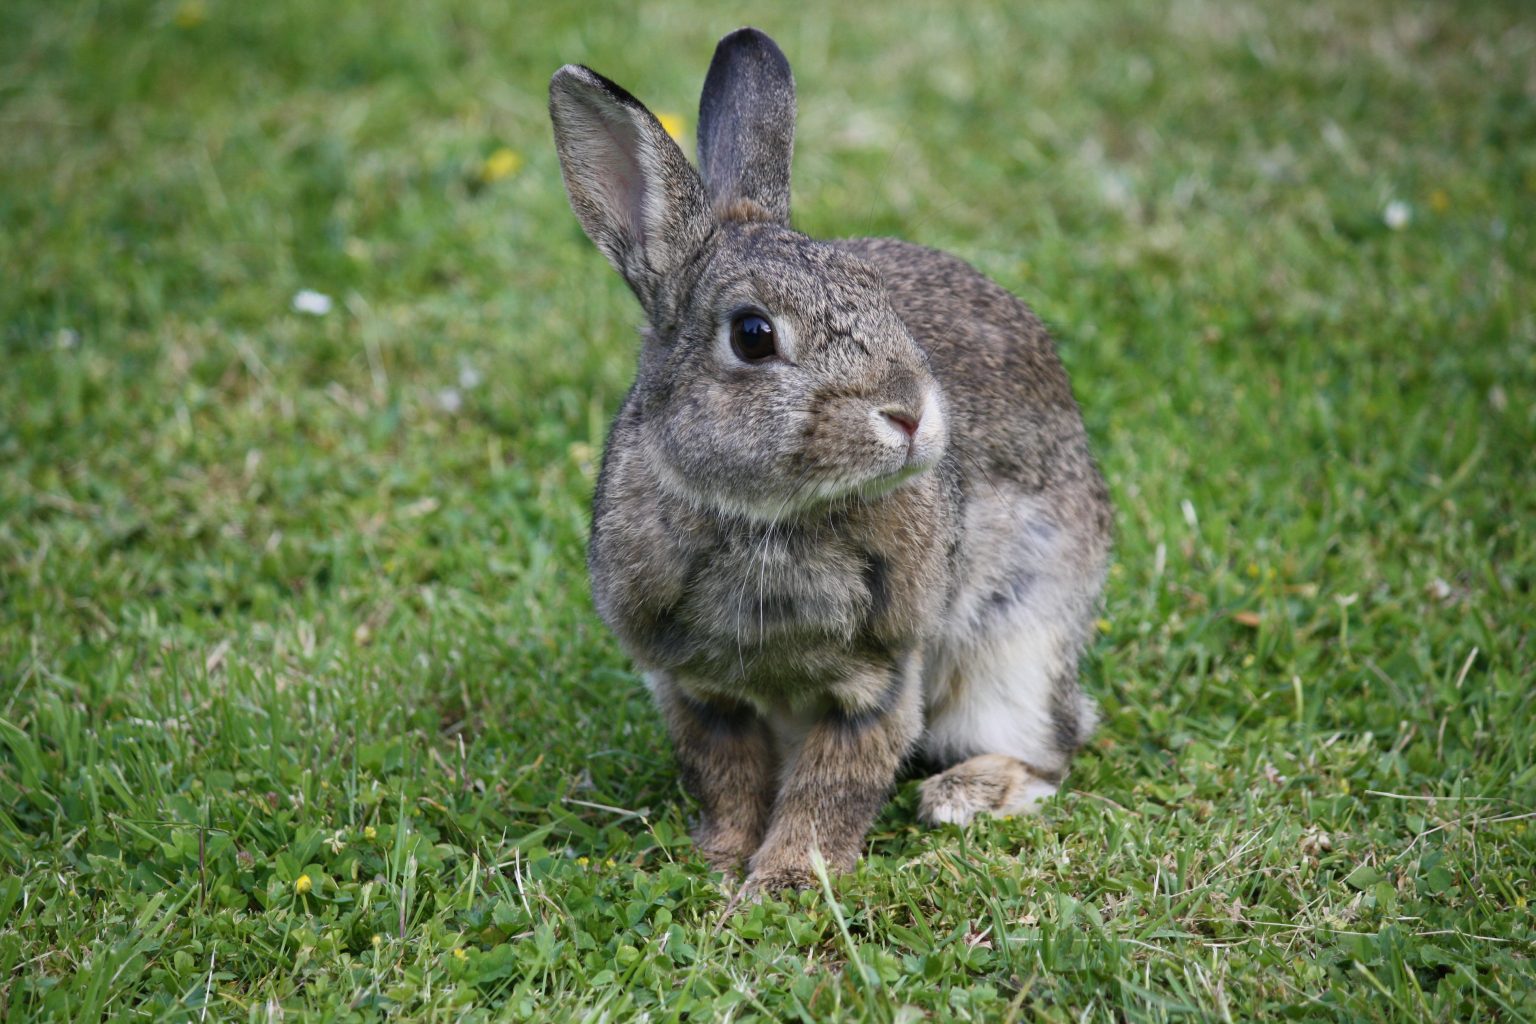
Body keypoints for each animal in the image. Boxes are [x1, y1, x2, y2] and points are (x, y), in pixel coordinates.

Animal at [549, 27, 1112, 893]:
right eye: (753, 335)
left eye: (875, 291)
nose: (912, 412)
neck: (767, 518)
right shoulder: (695, 688)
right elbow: (729, 779)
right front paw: (720, 864)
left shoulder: (879, 675)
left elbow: (834, 785)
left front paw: (784, 883)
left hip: (1020, 639)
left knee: (1051, 749)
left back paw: (961, 794)